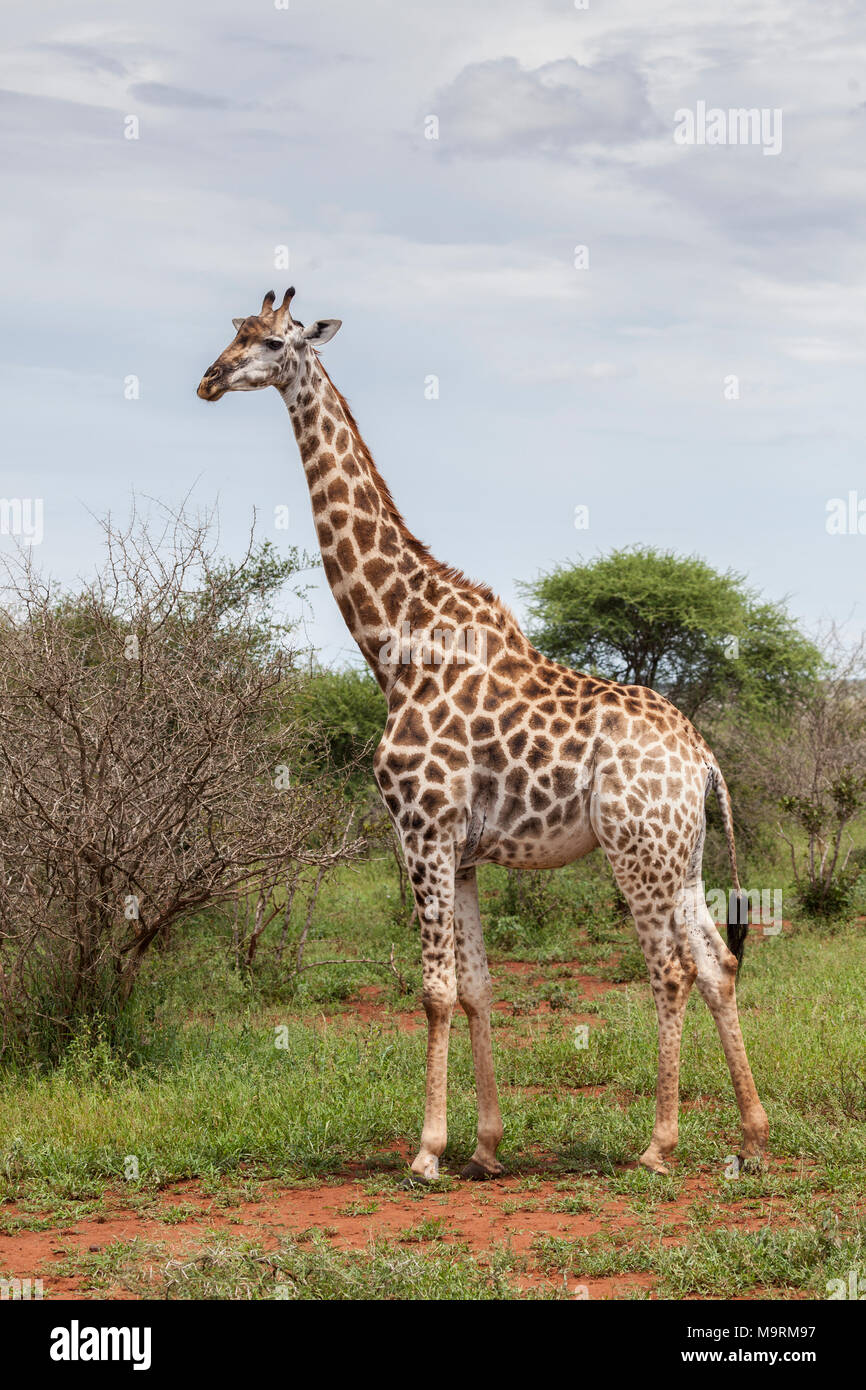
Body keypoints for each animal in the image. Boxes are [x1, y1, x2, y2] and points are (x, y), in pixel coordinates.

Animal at [197, 288, 769, 1181]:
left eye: (270, 341)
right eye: (233, 332)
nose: (210, 379)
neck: (395, 639)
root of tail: (705, 757)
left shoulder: (421, 830)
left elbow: (433, 990)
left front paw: (427, 1152)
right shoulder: (460, 851)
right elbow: (477, 988)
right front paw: (486, 1147)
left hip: (635, 851)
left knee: (670, 971)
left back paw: (659, 1145)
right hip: (682, 854)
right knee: (717, 963)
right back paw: (750, 1134)